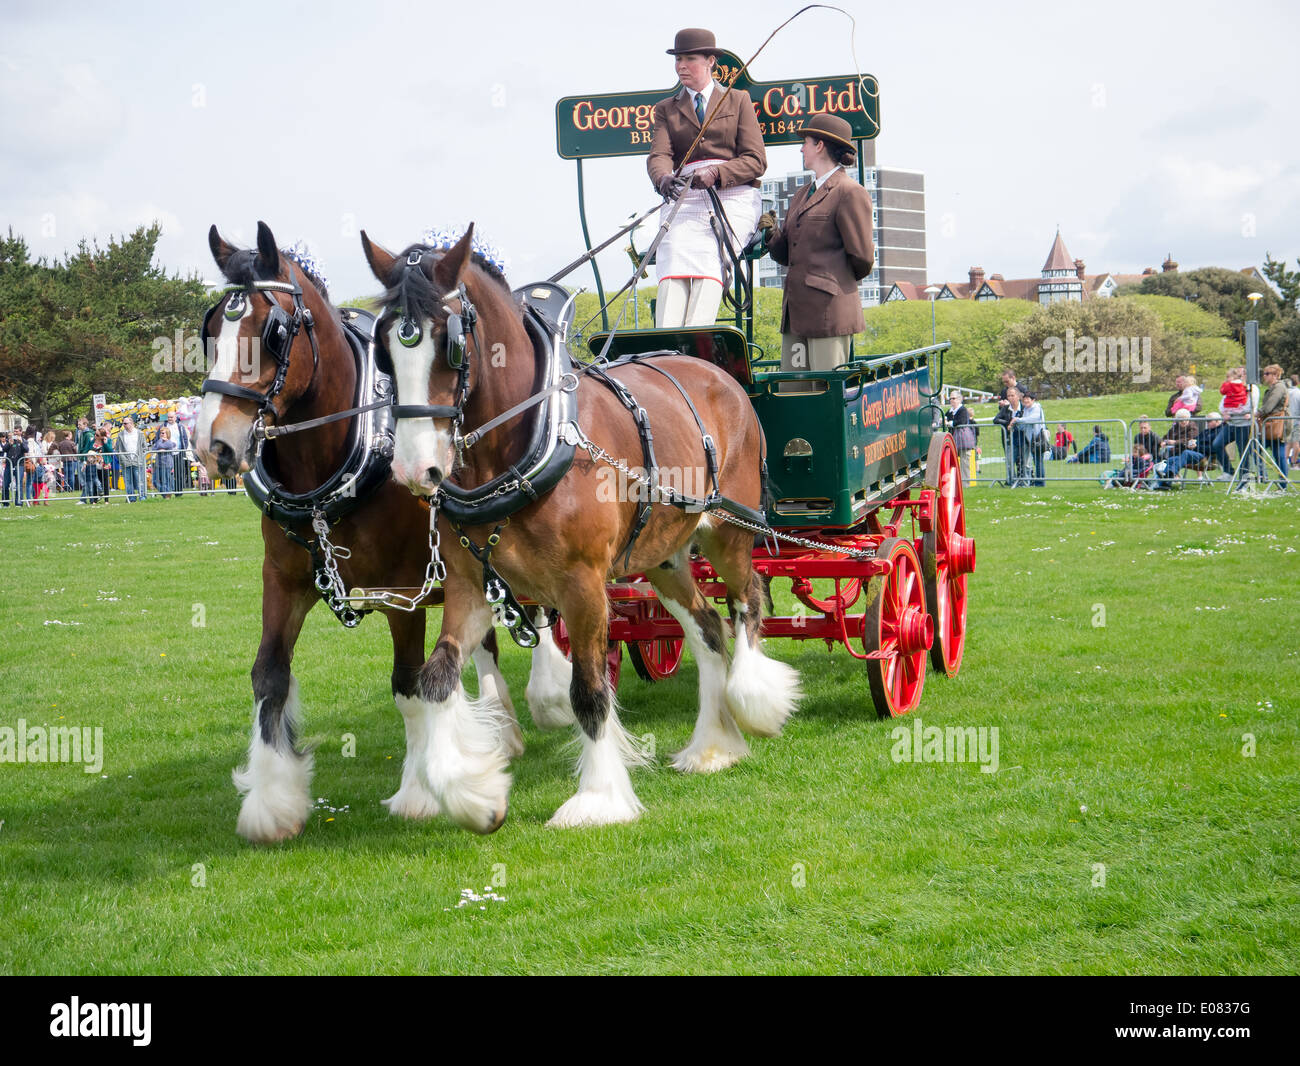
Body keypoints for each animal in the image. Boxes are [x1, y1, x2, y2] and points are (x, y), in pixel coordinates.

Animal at [193, 221, 523, 843]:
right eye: (209, 330)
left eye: (273, 332)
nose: (213, 444)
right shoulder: (284, 580)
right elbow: (269, 675)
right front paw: (272, 802)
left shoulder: (405, 592)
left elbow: (409, 684)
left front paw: (418, 794)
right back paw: (503, 730)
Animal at [361, 225, 801, 830]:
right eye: (383, 349)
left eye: (449, 346)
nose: (413, 470)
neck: (527, 444)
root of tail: (721, 374)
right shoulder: (472, 587)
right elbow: (435, 678)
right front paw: (472, 794)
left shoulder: (583, 584)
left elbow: (589, 690)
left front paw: (598, 798)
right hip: (663, 554)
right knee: (708, 625)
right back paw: (712, 746)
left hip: (728, 530)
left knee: (748, 598)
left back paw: (755, 701)